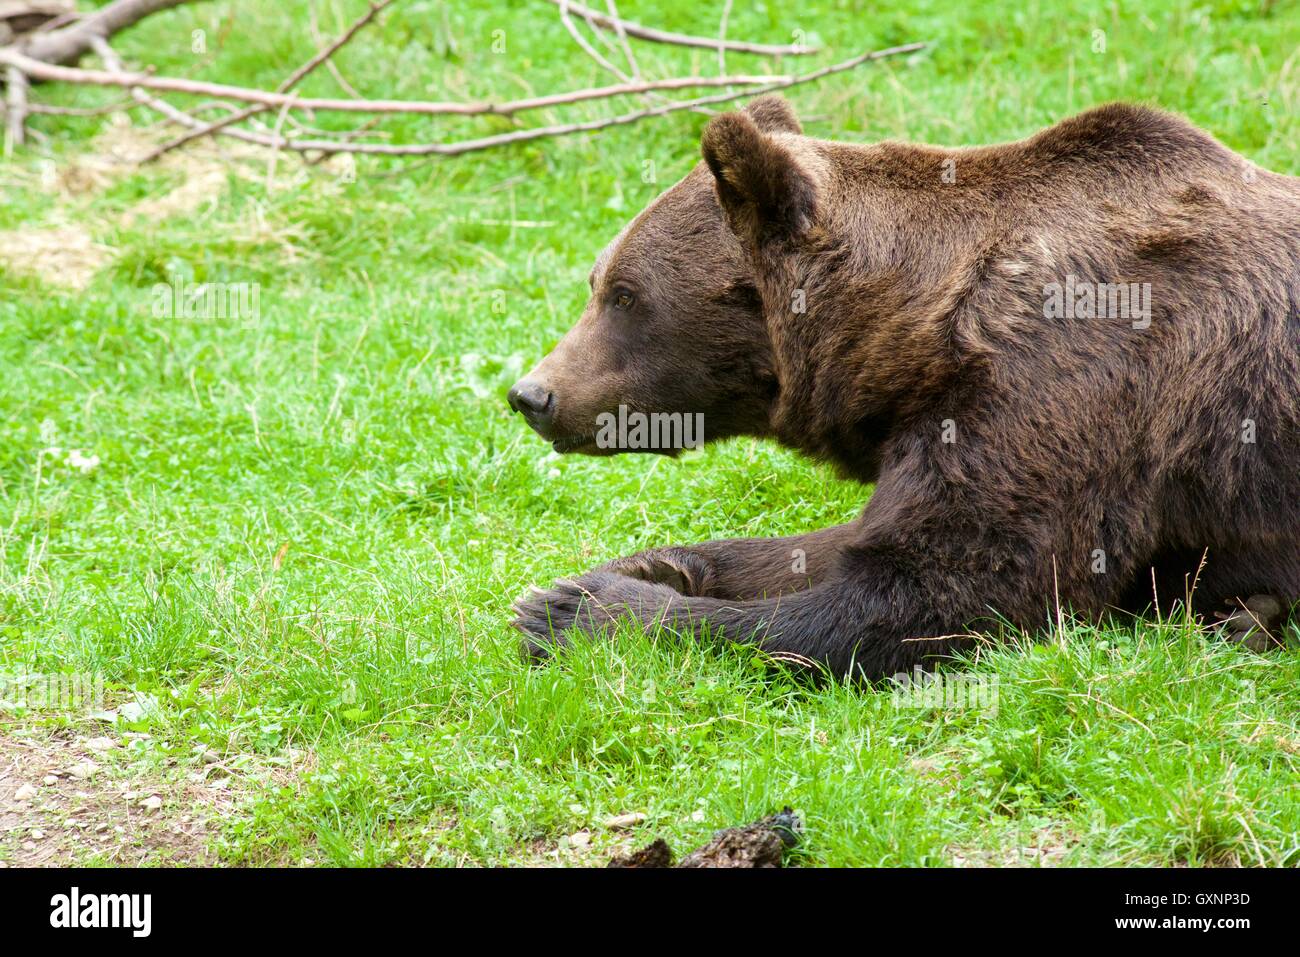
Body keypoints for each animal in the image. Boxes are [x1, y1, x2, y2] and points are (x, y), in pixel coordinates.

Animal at [506, 96, 1300, 678]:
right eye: (599, 280)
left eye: (626, 296)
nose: (533, 394)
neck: (920, 339)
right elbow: (836, 545)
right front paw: (624, 569)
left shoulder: (1063, 394)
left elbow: (935, 590)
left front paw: (577, 613)